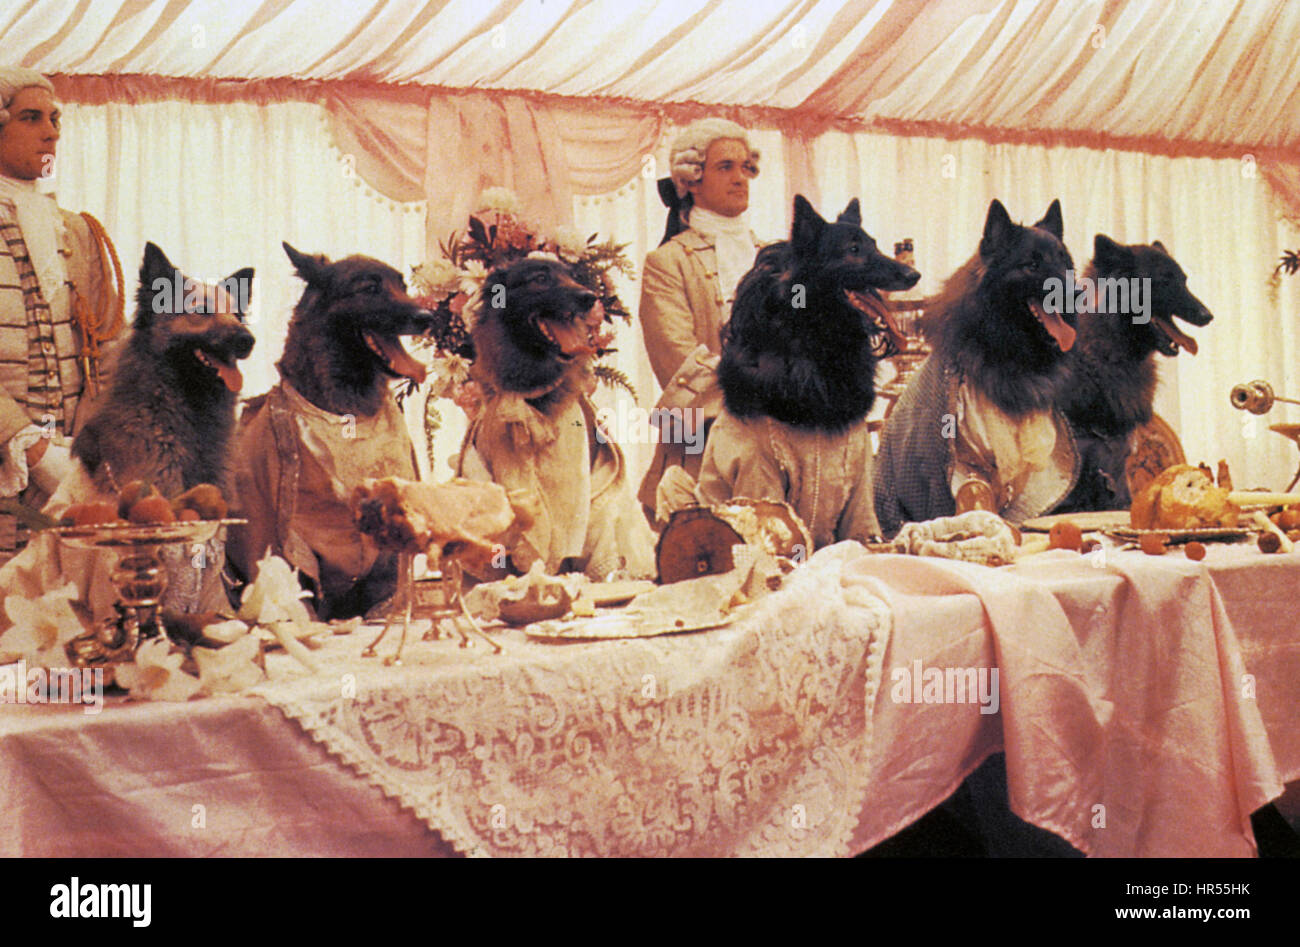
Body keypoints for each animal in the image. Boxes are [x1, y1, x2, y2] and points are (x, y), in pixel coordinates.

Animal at [874, 199, 1080, 536]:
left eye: (1065, 262)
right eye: (1032, 265)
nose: (1078, 293)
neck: (1004, 351)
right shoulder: (966, 460)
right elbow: (975, 495)